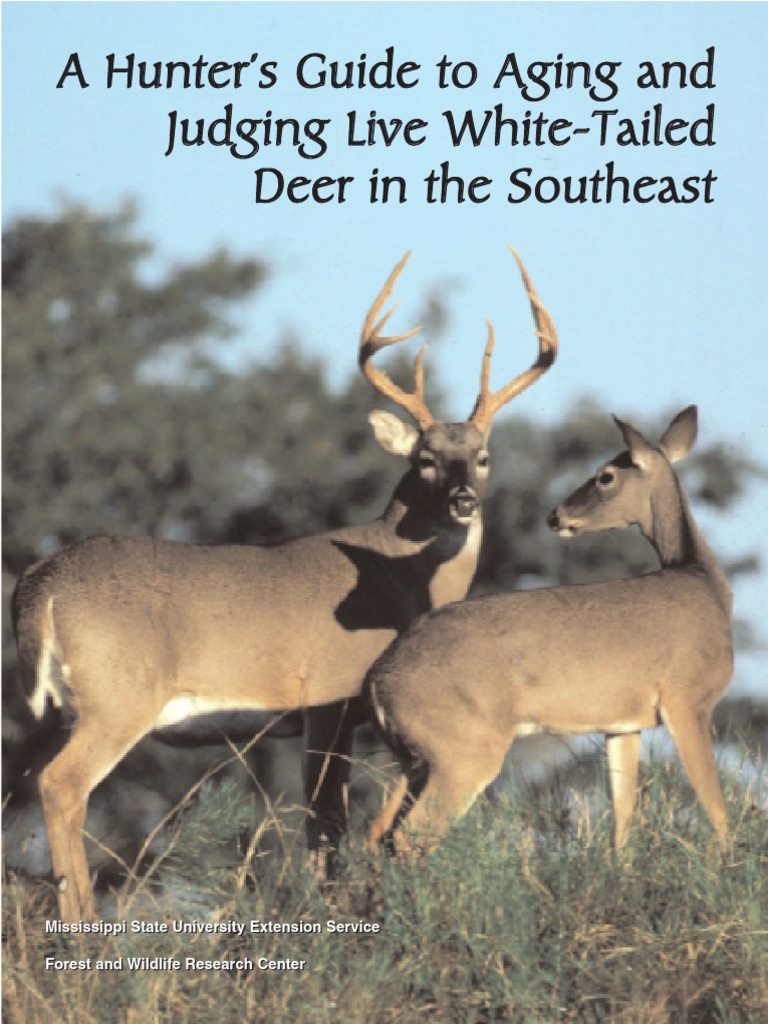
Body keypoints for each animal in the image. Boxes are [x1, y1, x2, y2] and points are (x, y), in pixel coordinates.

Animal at [11, 247, 558, 921]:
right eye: (425, 458)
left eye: (482, 457)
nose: (464, 501)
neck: (395, 574)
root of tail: (41, 583)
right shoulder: (329, 698)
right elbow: (327, 822)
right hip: (118, 696)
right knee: (63, 786)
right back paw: (85, 926)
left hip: (55, 709)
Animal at [366, 405, 733, 855]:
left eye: (605, 476)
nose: (555, 516)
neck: (704, 583)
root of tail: (379, 680)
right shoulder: (688, 698)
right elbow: (717, 813)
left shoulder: (624, 723)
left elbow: (623, 822)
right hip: (463, 749)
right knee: (410, 833)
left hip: (413, 757)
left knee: (377, 830)